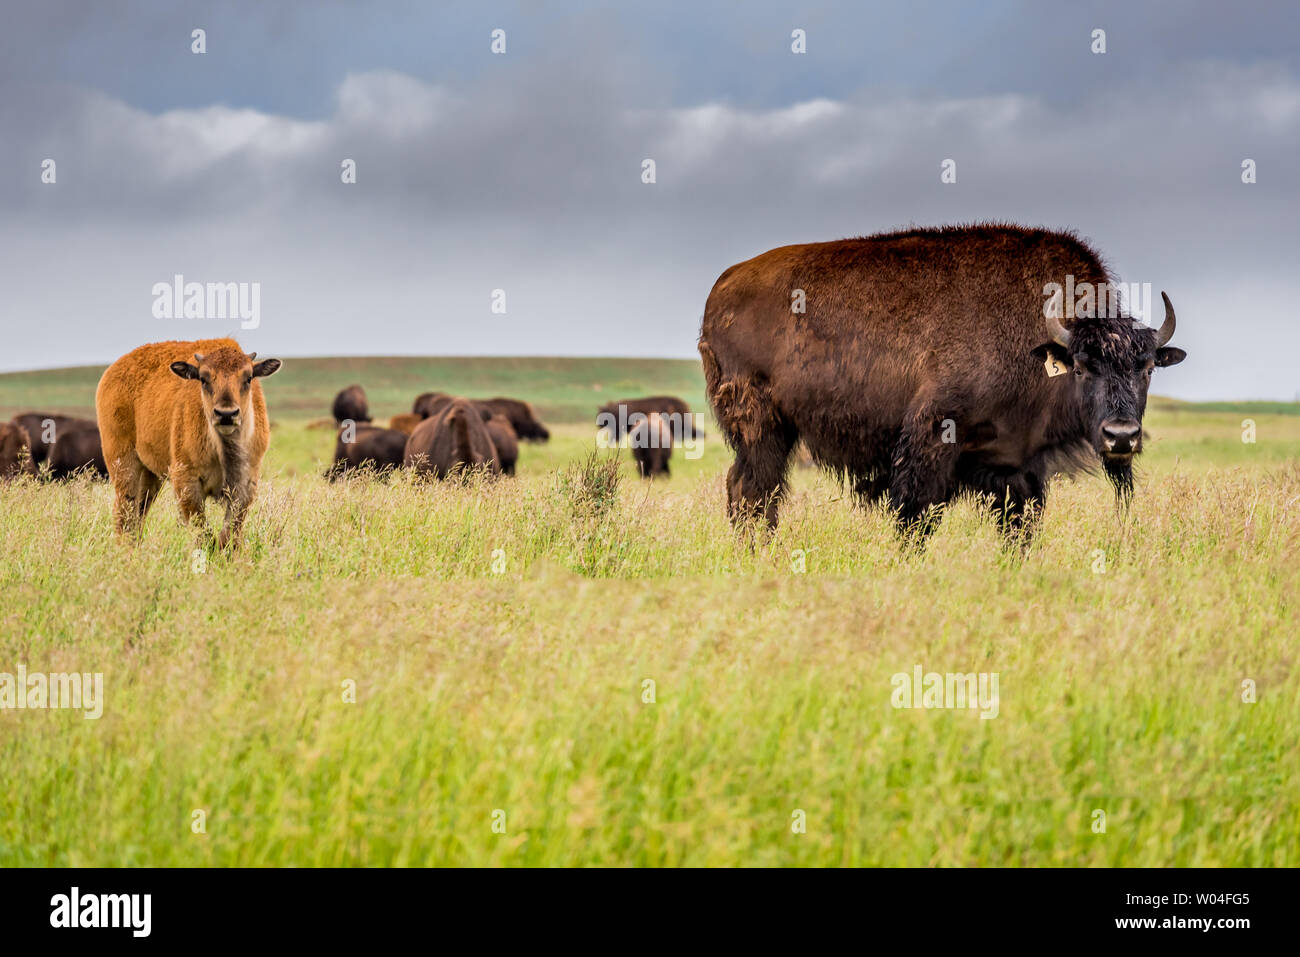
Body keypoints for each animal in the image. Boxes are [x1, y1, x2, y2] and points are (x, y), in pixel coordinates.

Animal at [698, 224, 1186, 542]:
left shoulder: (1020, 467)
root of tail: (723, 286)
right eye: (1082, 368)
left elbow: (1020, 529)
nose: (1121, 436)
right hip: (762, 426)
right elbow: (915, 520)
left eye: (1147, 369)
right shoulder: (931, 441)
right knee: (752, 491)